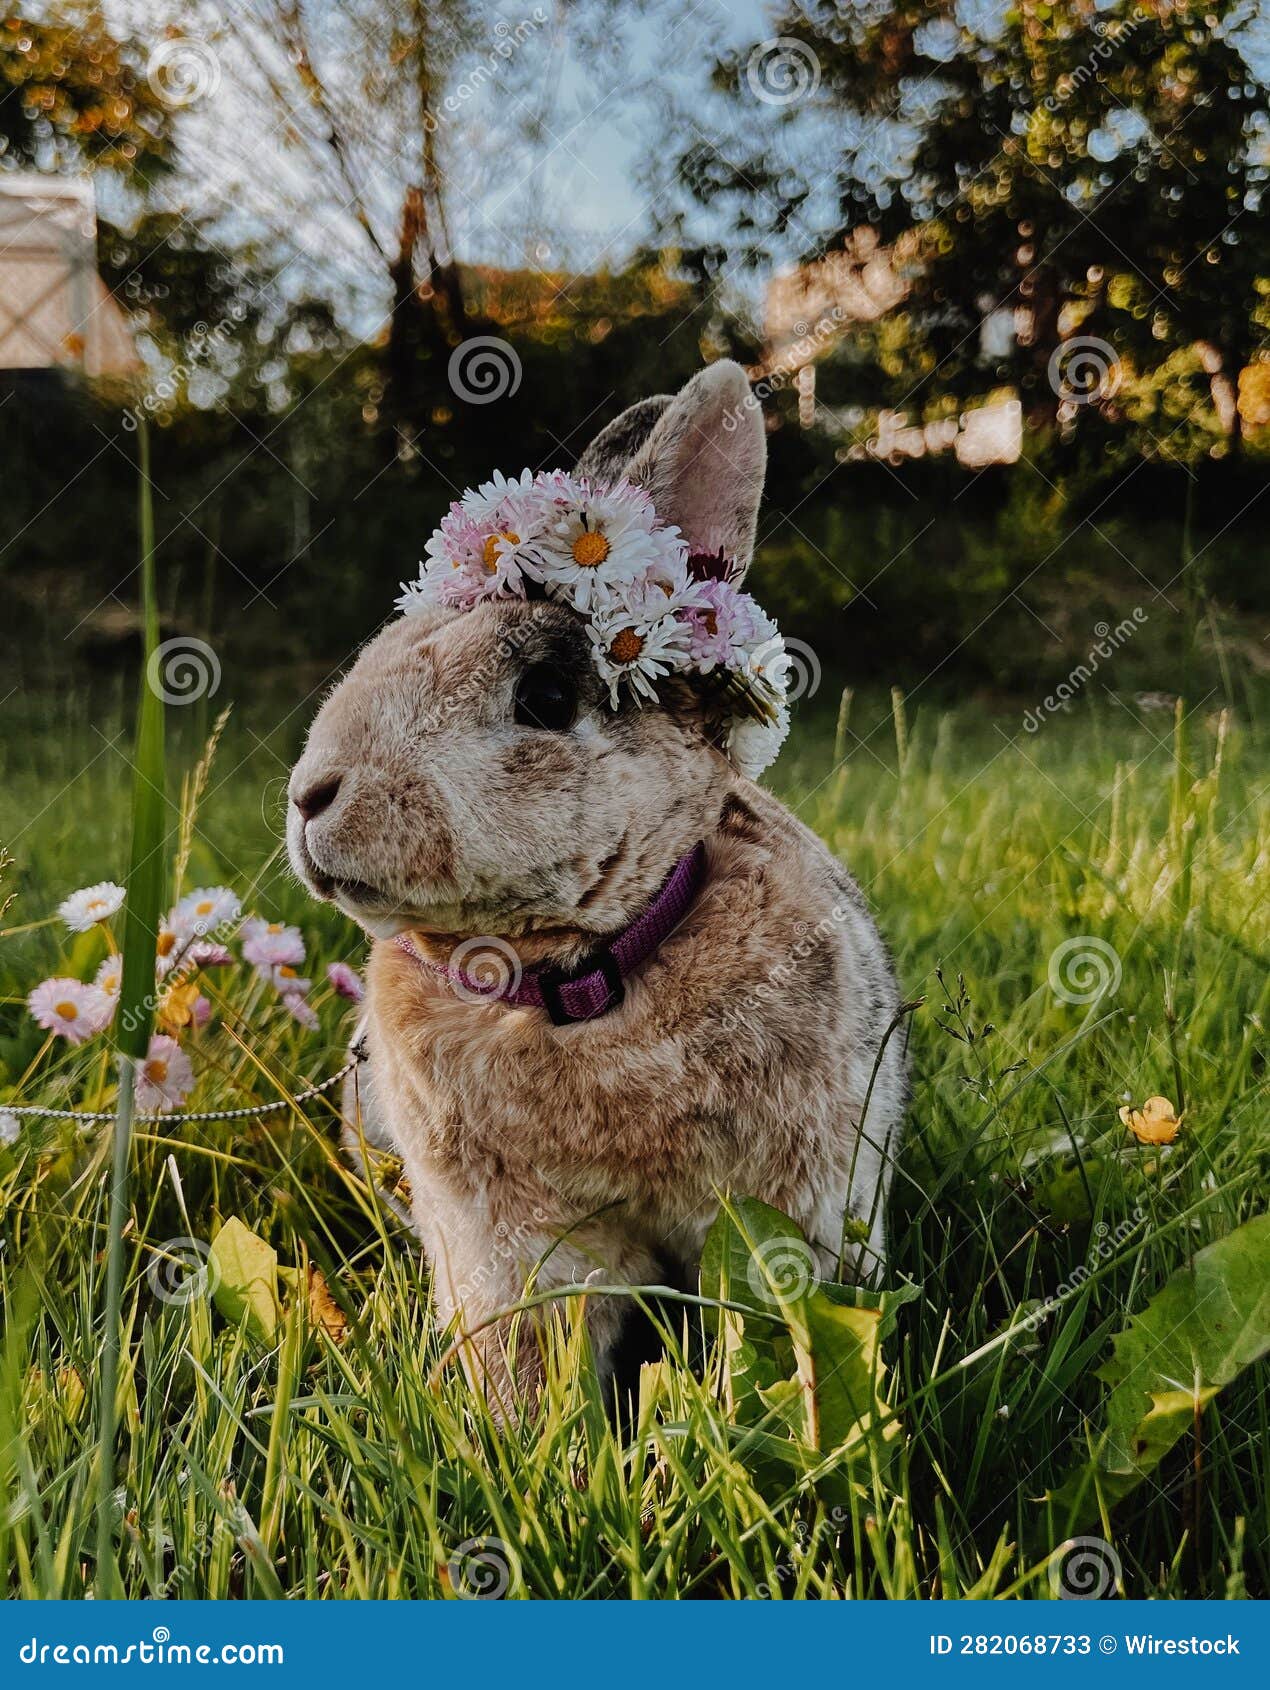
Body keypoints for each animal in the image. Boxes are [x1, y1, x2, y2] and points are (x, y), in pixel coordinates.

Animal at [287, 360, 907, 1409]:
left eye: (542, 697)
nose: (311, 795)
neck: (576, 980)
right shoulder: (512, 1247)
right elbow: (535, 1354)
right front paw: (525, 1433)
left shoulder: (795, 1208)